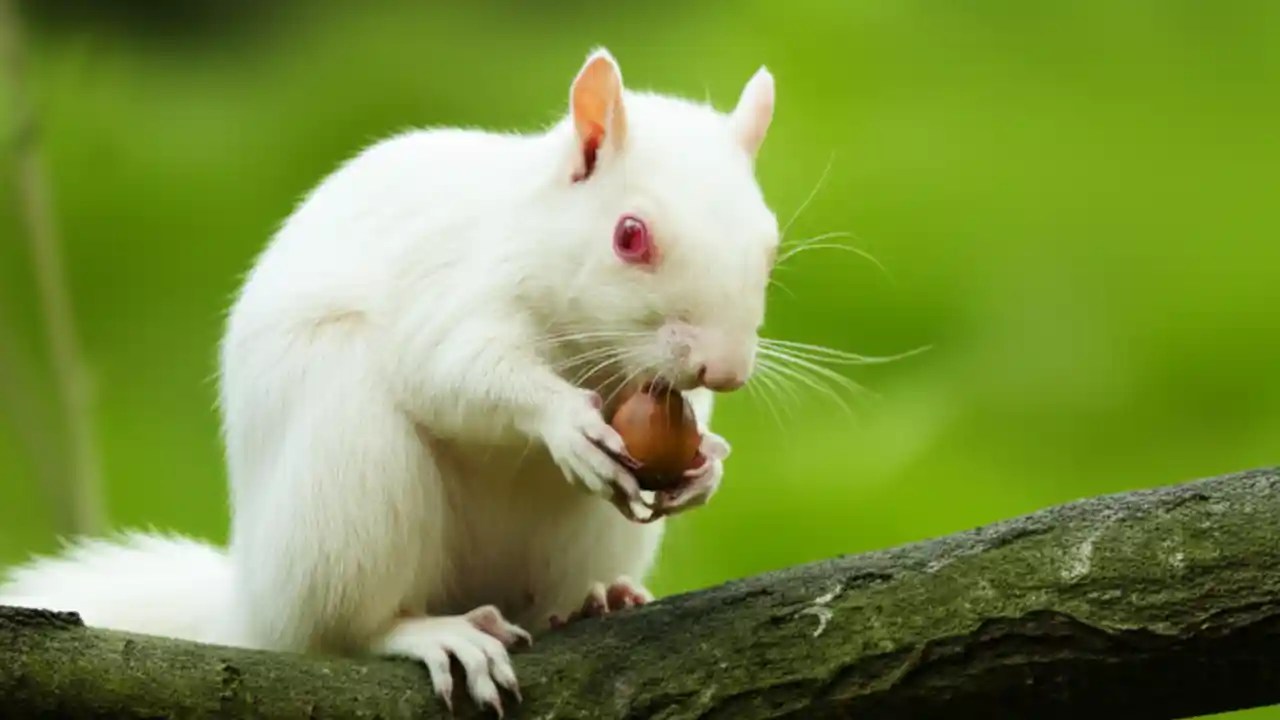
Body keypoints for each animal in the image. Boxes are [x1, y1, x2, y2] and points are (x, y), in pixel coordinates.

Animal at [0, 48, 778, 715]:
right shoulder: (452, 295)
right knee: (345, 628)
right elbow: (459, 375)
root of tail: (252, 605)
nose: (725, 368)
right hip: (349, 476)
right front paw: (565, 422)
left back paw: (596, 600)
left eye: (769, 245)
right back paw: (431, 633)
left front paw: (707, 462)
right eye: (629, 235)